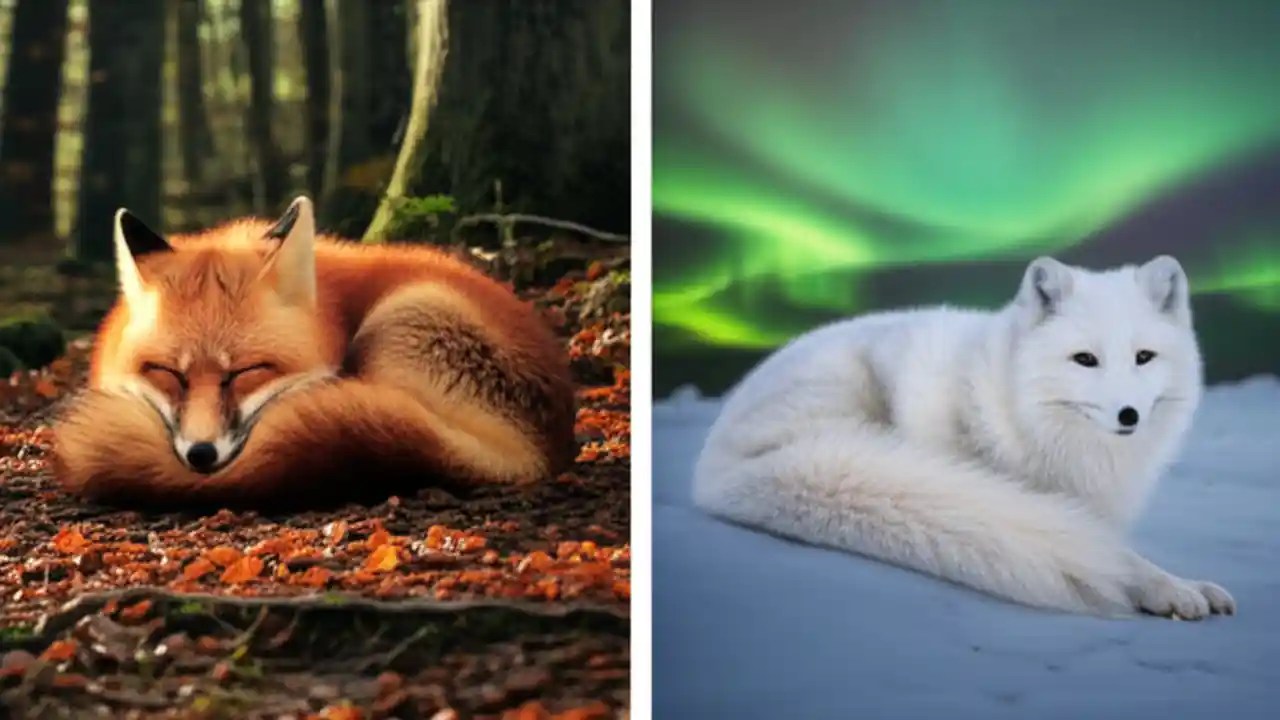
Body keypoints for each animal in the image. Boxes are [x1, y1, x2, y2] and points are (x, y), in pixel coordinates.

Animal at [52, 196, 576, 509]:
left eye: (246, 372)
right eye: (168, 373)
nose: (201, 456)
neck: (329, 311)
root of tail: (542, 454)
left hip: (397, 321)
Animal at [693, 256, 1236, 619]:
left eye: (1144, 357)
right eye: (1085, 359)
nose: (1129, 415)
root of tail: (711, 468)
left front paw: (1182, 584)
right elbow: (1114, 554)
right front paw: (1167, 588)